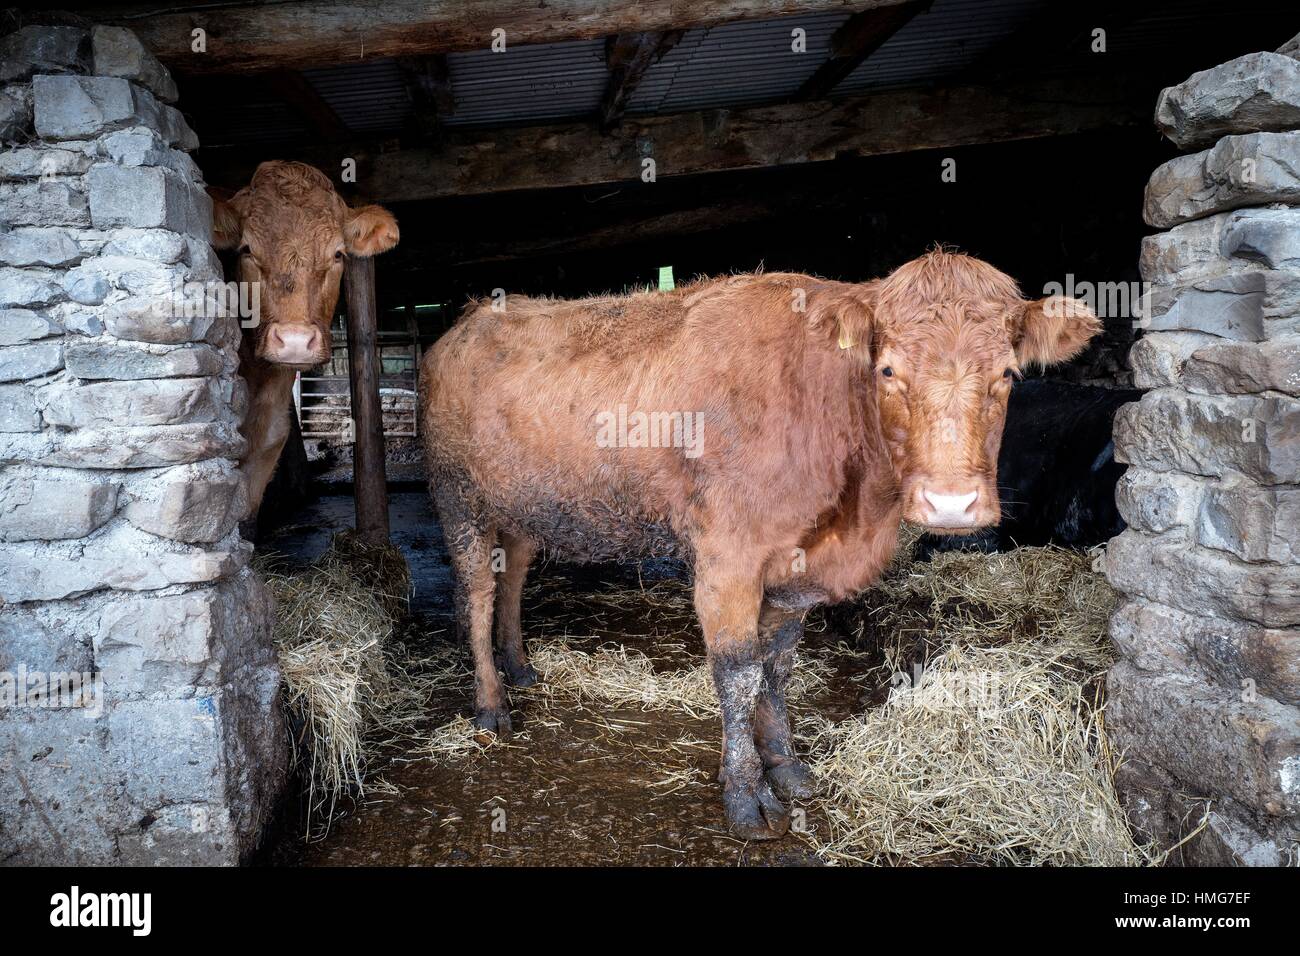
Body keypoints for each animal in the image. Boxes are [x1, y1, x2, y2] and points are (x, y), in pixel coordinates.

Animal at [420, 250, 1100, 839]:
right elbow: (739, 673)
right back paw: (490, 704)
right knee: (476, 593)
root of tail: (474, 316)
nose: (951, 503)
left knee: (512, 576)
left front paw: (786, 767)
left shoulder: (796, 567)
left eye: (1008, 374)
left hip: (523, 508)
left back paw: (518, 666)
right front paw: (746, 794)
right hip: (459, 497)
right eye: (887, 370)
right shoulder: (728, 558)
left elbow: (777, 666)